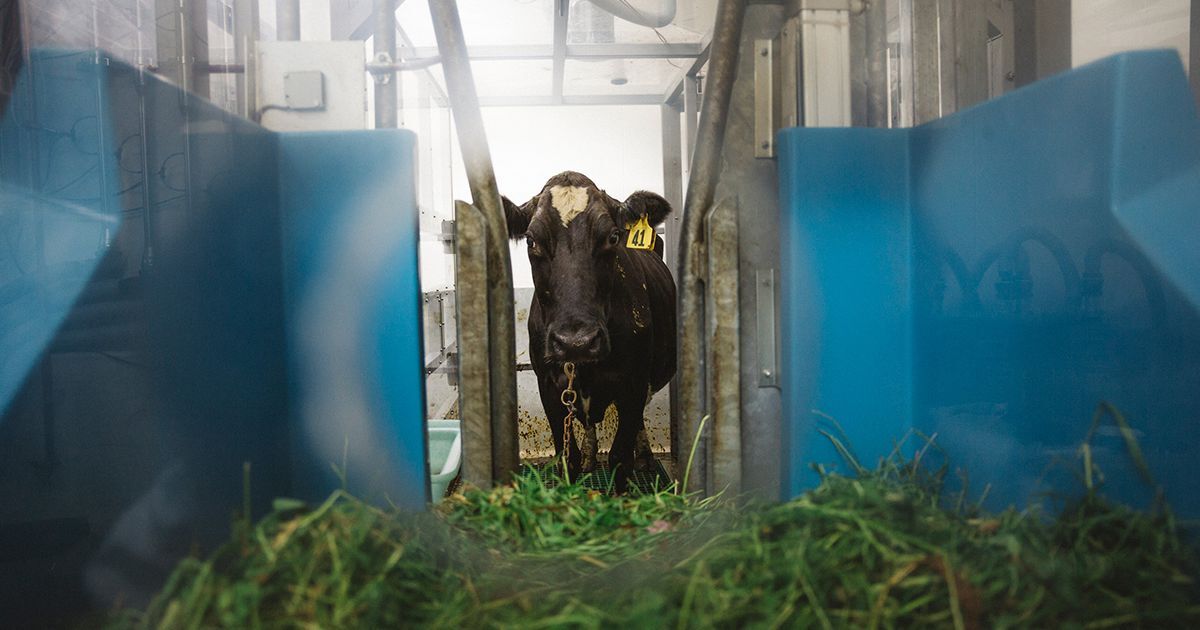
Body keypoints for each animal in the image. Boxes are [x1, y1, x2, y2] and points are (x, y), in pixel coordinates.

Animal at [502, 171, 676, 491]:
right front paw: (579, 461)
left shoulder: (634, 382)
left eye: (613, 237)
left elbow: (620, 455)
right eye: (531, 240)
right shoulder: (549, 384)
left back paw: (645, 455)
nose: (577, 342)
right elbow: (565, 455)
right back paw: (590, 454)